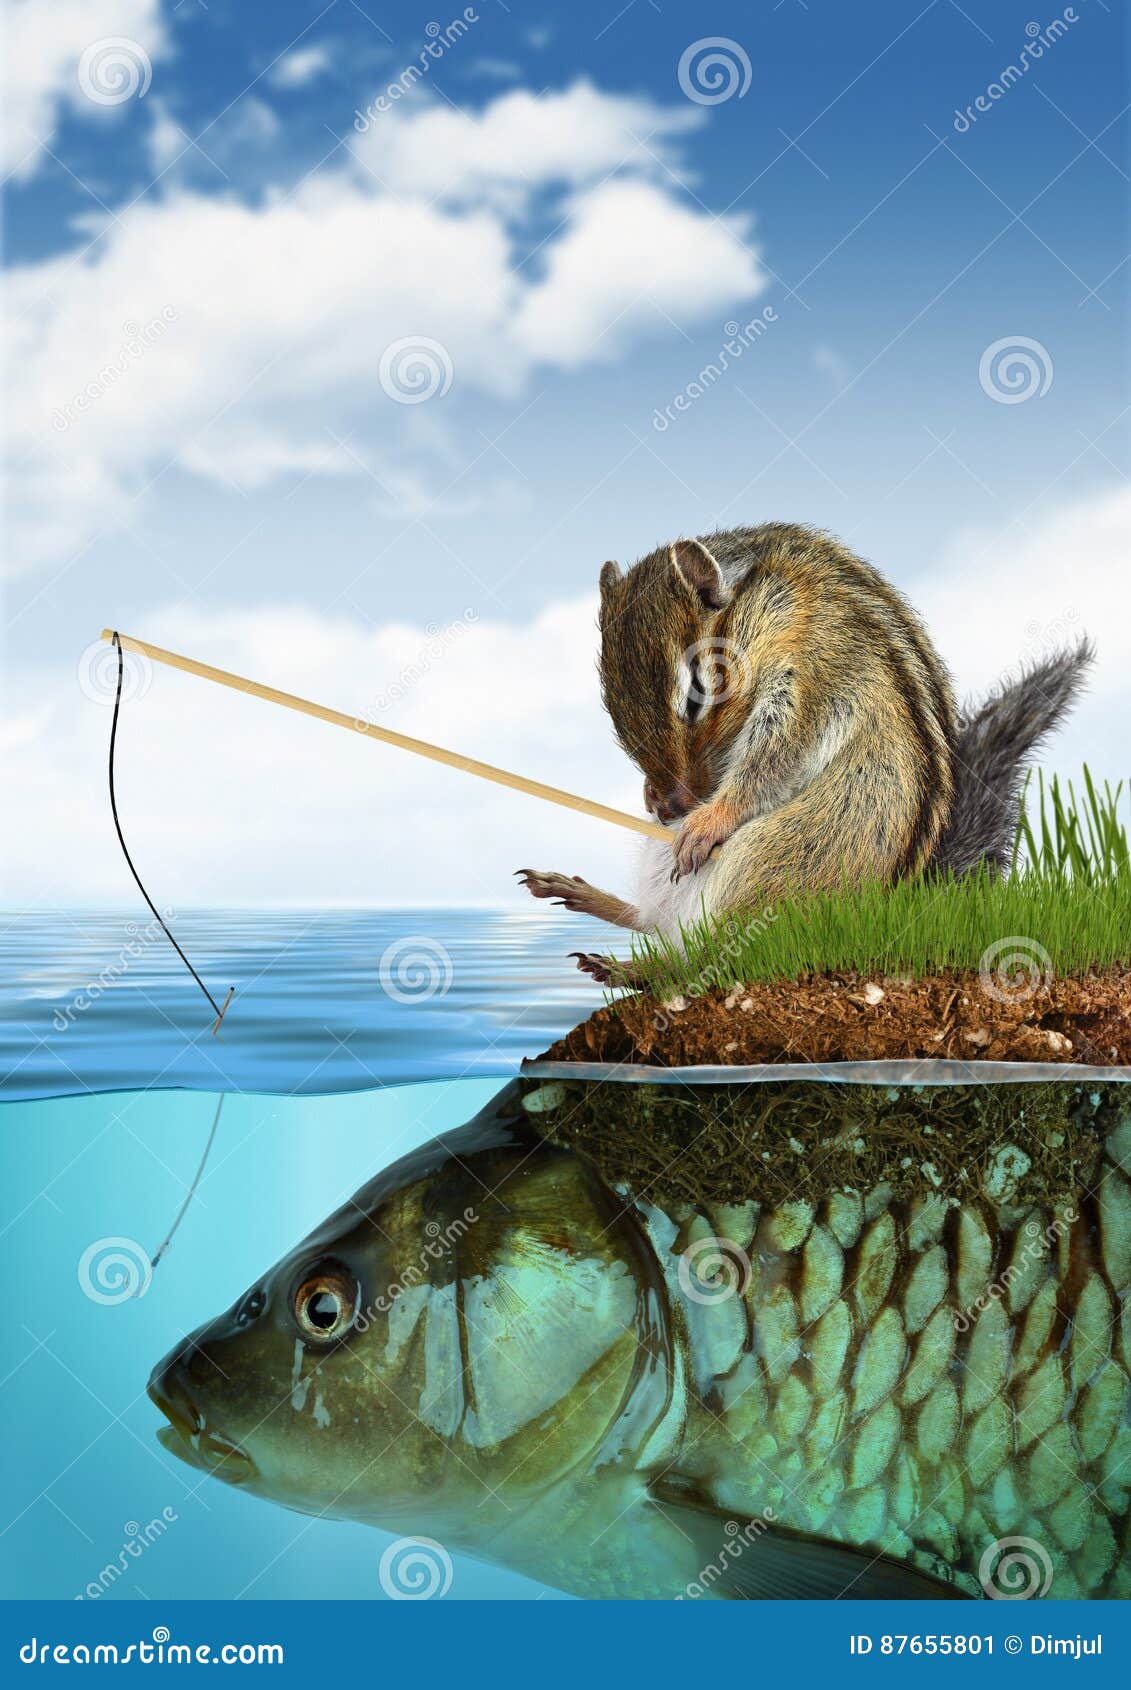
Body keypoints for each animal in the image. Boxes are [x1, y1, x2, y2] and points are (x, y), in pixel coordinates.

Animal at [517, 523, 1092, 981]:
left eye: (699, 691)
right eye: (607, 695)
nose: (672, 807)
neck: (764, 602)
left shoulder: (812, 674)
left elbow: (775, 761)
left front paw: (709, 821)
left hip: (768, 860)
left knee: (707, 958)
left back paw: (632, 966)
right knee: (654, 920)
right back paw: (576, 892)